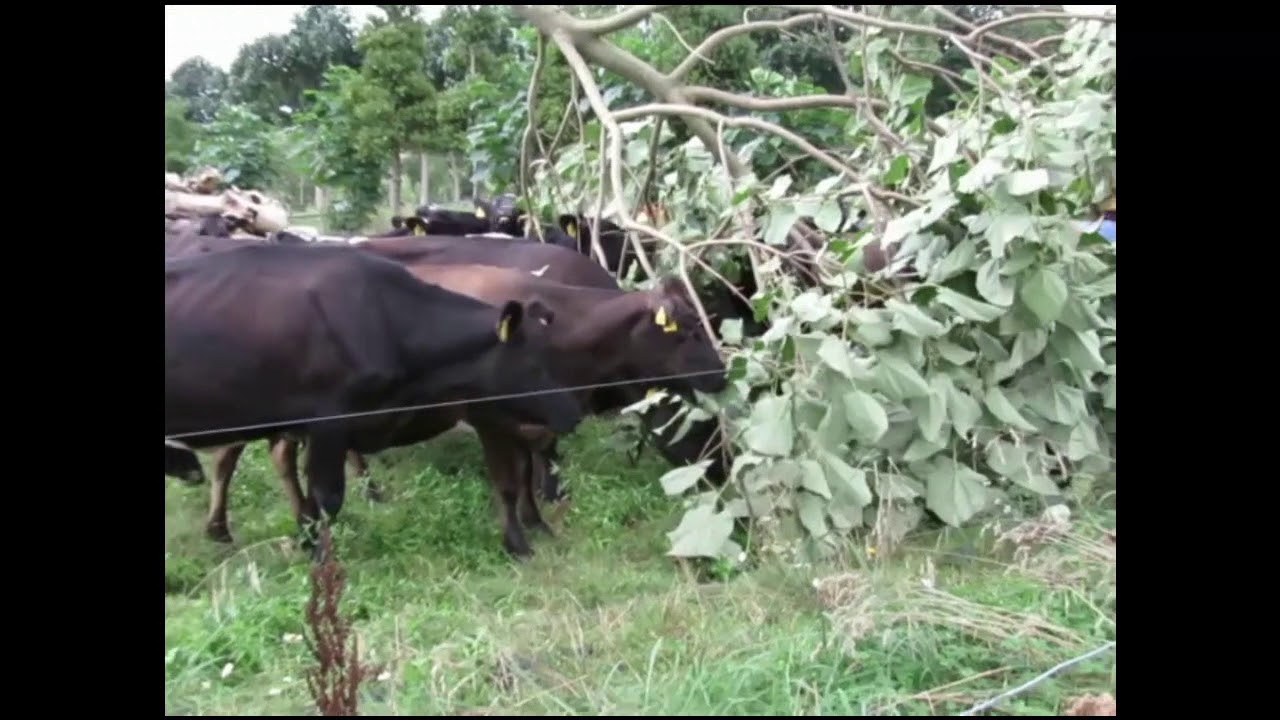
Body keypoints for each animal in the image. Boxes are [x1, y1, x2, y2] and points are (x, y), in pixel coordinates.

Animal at [165, 243, 584, 558]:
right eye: (532, 364)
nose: (572, 414)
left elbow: (511, 478)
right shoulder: (328, 423)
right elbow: (328, 497)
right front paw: (322, 559)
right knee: (232, 458)